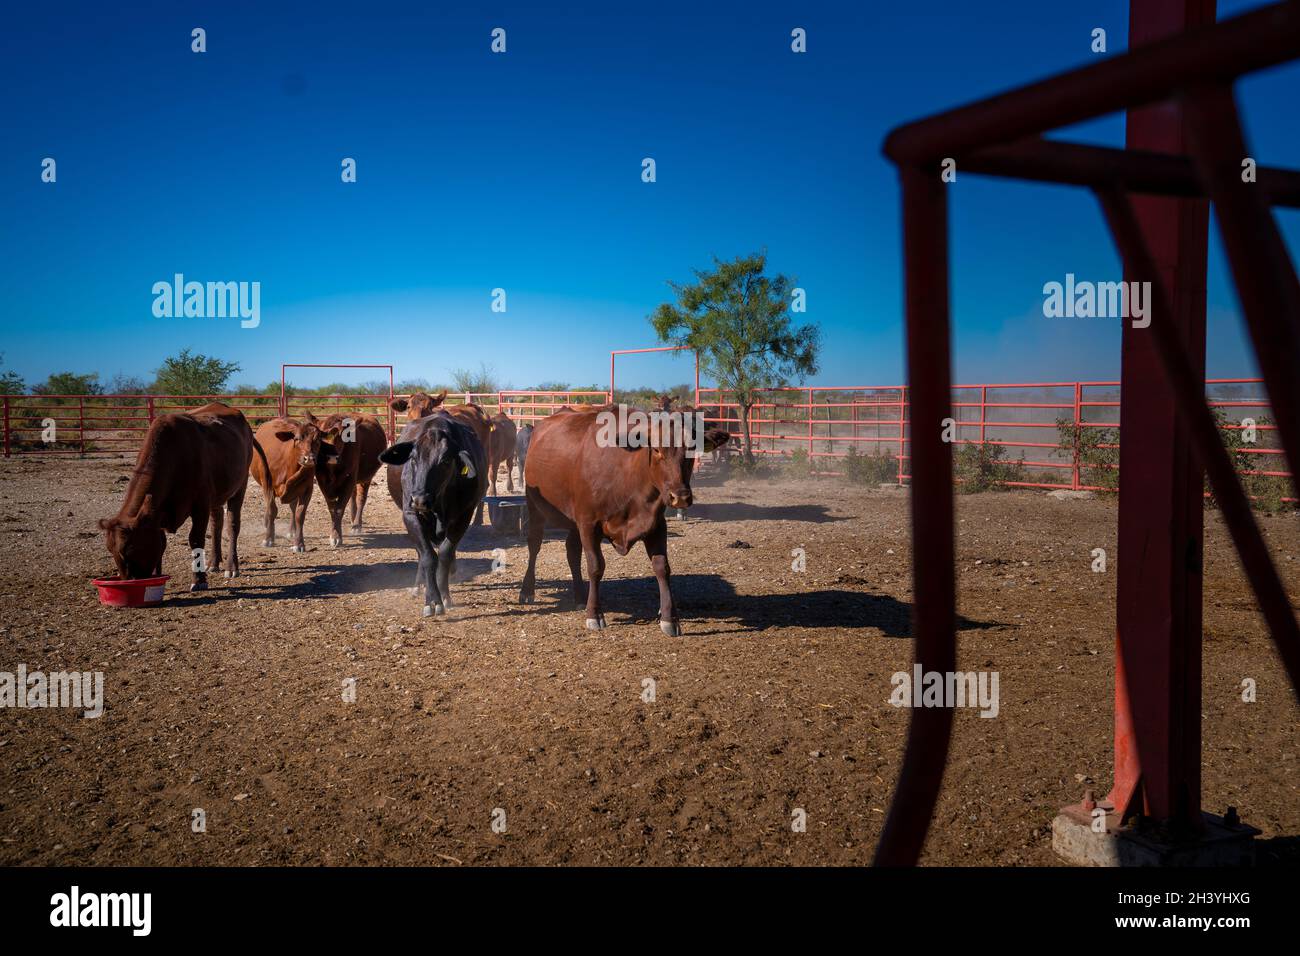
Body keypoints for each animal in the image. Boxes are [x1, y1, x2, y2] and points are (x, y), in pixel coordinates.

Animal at [99, 402, 256, 590]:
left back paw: (231, 566)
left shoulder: (200, 505)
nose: (131, 580)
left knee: (232, 524)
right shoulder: (157, 514)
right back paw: (214, 563)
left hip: (240, 484)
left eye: (130, 550)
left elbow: (196, 540)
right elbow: (161, 542)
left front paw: (199, 580)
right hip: (217, 495)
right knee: (216, 524)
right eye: (111, 551)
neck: (174, 456)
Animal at [249, 414, 326, 552]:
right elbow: (272, 510)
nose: (309, 459)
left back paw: (292, 531)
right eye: (297, 439)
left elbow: (299, 514)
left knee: (292, 507)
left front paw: (299, 543)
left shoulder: (307, 489)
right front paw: (268, 538)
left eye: (318, 440)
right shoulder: (267, 484)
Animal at [379, 411, 488, 617]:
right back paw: (418, 585)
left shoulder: (464, 517)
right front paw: (432, 600)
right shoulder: (410, 515)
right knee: (421, 553)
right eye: (413, 458)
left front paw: (444, 595)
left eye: (445, 461)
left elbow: (445, 553)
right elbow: (428, 556)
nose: (419, 499)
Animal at [518, 403, 730, 634]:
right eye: (657, 449)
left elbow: (662, 567)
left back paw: (580, 596)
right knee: (534, 544)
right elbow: (595, 566)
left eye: (692, 449)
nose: (680, 496)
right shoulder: (589, 524)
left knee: (572, 552)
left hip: (574, 522)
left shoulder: (656, 525)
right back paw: (527, 590)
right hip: (536, 507)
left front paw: (669, 618)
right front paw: (594, 614)